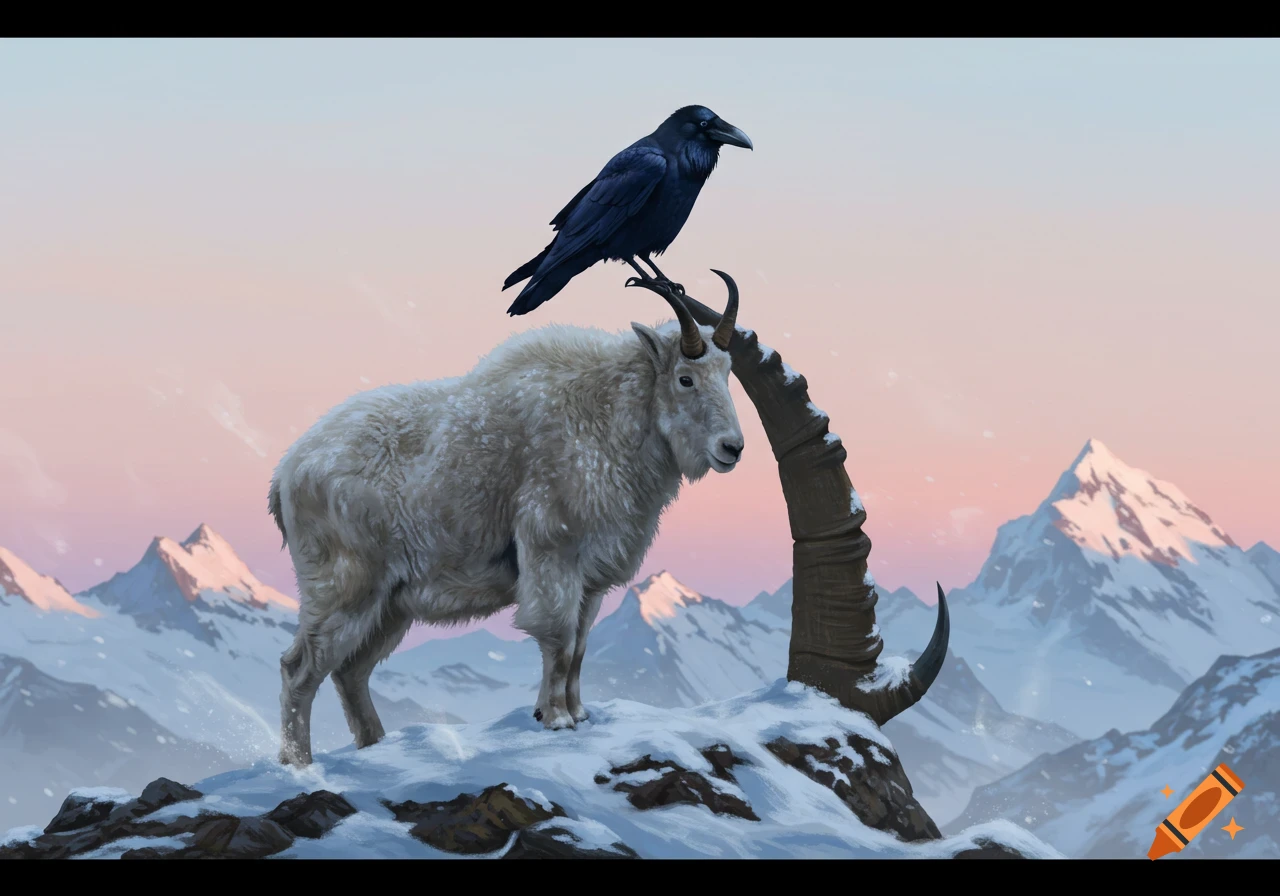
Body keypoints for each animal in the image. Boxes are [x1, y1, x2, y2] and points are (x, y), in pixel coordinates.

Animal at [268, 273, 744, 765]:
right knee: (299, 669)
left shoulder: (591, 578)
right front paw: (556, 718)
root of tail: (284, 475)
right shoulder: (552, 552)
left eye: (727, 374)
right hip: (344, 587)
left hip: (391, 603)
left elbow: (580, 647)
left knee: (351, 671)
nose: (732, 448)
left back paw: (375, 745)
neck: (606, 415)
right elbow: (559, 641)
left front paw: (578, 713)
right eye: (685, 378)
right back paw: (299, 764)